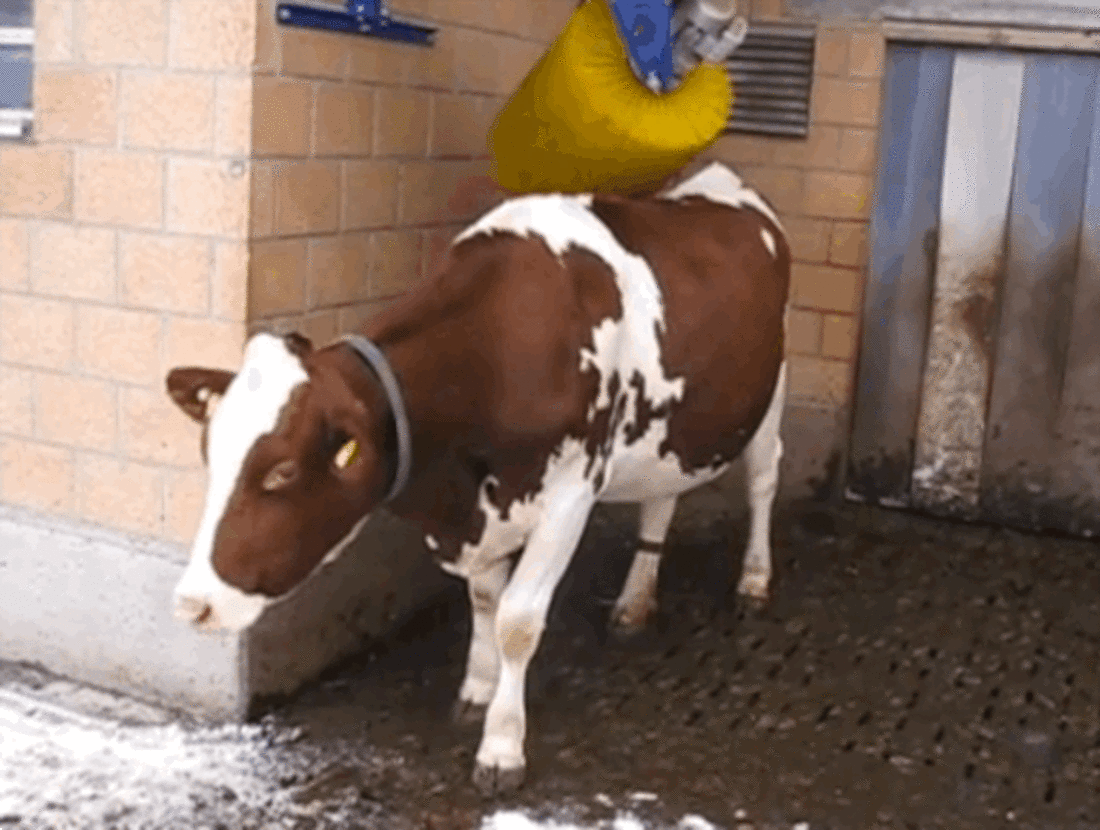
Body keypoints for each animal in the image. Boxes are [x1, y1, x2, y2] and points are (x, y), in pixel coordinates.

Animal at [166, 161, 790, 795]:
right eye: (209, 454)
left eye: (281, 472)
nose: (193, 605)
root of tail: (722, 180)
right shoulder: (476, 513)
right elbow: (486, 600)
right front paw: (477, 689)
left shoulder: (571, 492)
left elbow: (517, 619)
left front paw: (502, 746)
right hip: (668, 433)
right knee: (660, 500)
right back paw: (635, 602)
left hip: (770, 392)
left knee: (765, 480)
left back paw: (754, 579)